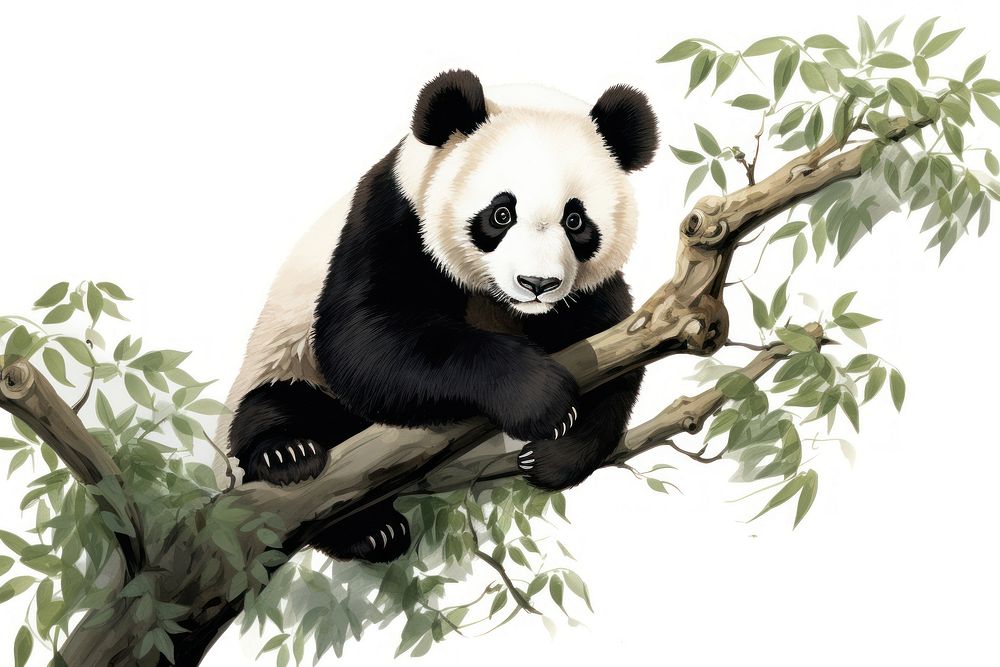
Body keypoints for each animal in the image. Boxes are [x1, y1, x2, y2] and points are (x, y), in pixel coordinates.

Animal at [220, 70, 658, 563]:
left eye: (576, 221)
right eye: (501, 213)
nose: (537, 284)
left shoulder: (586, 292)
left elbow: (611, 342)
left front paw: (555, 452)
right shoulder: (393, 218)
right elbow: (366, 339)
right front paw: (540, 398)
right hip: (284, 364)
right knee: (275, 406)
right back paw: (311, 476)